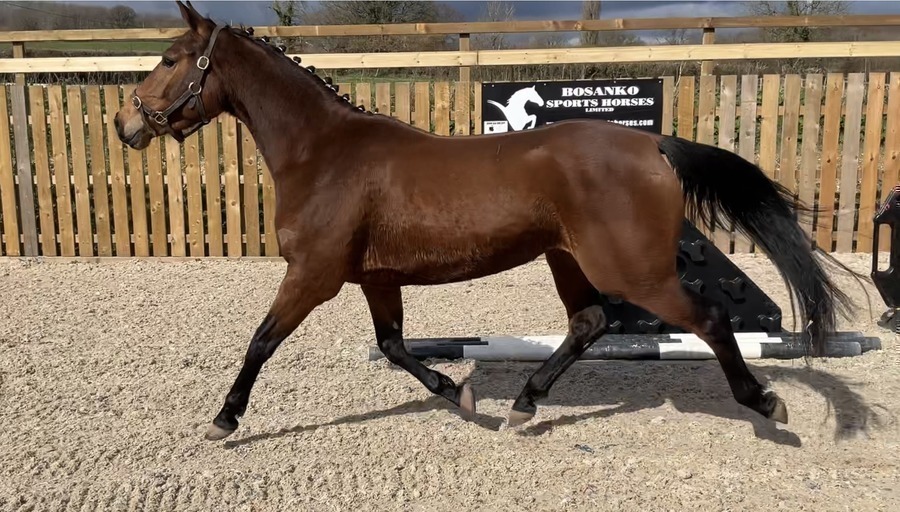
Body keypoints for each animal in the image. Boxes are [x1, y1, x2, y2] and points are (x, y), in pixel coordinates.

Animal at [115, 1, 860, 442]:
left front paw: (223, 418)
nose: (127, 124)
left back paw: (765, 405)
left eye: (170, 59)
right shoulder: (375, 279)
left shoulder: (314, 275)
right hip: (569, 259)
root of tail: (652, 145)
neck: (323, 153)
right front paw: (461, 396)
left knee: (705, 319)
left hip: (635, 271)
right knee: (590, 322)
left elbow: (261, 342)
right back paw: (524, 406)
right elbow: (394, 347)